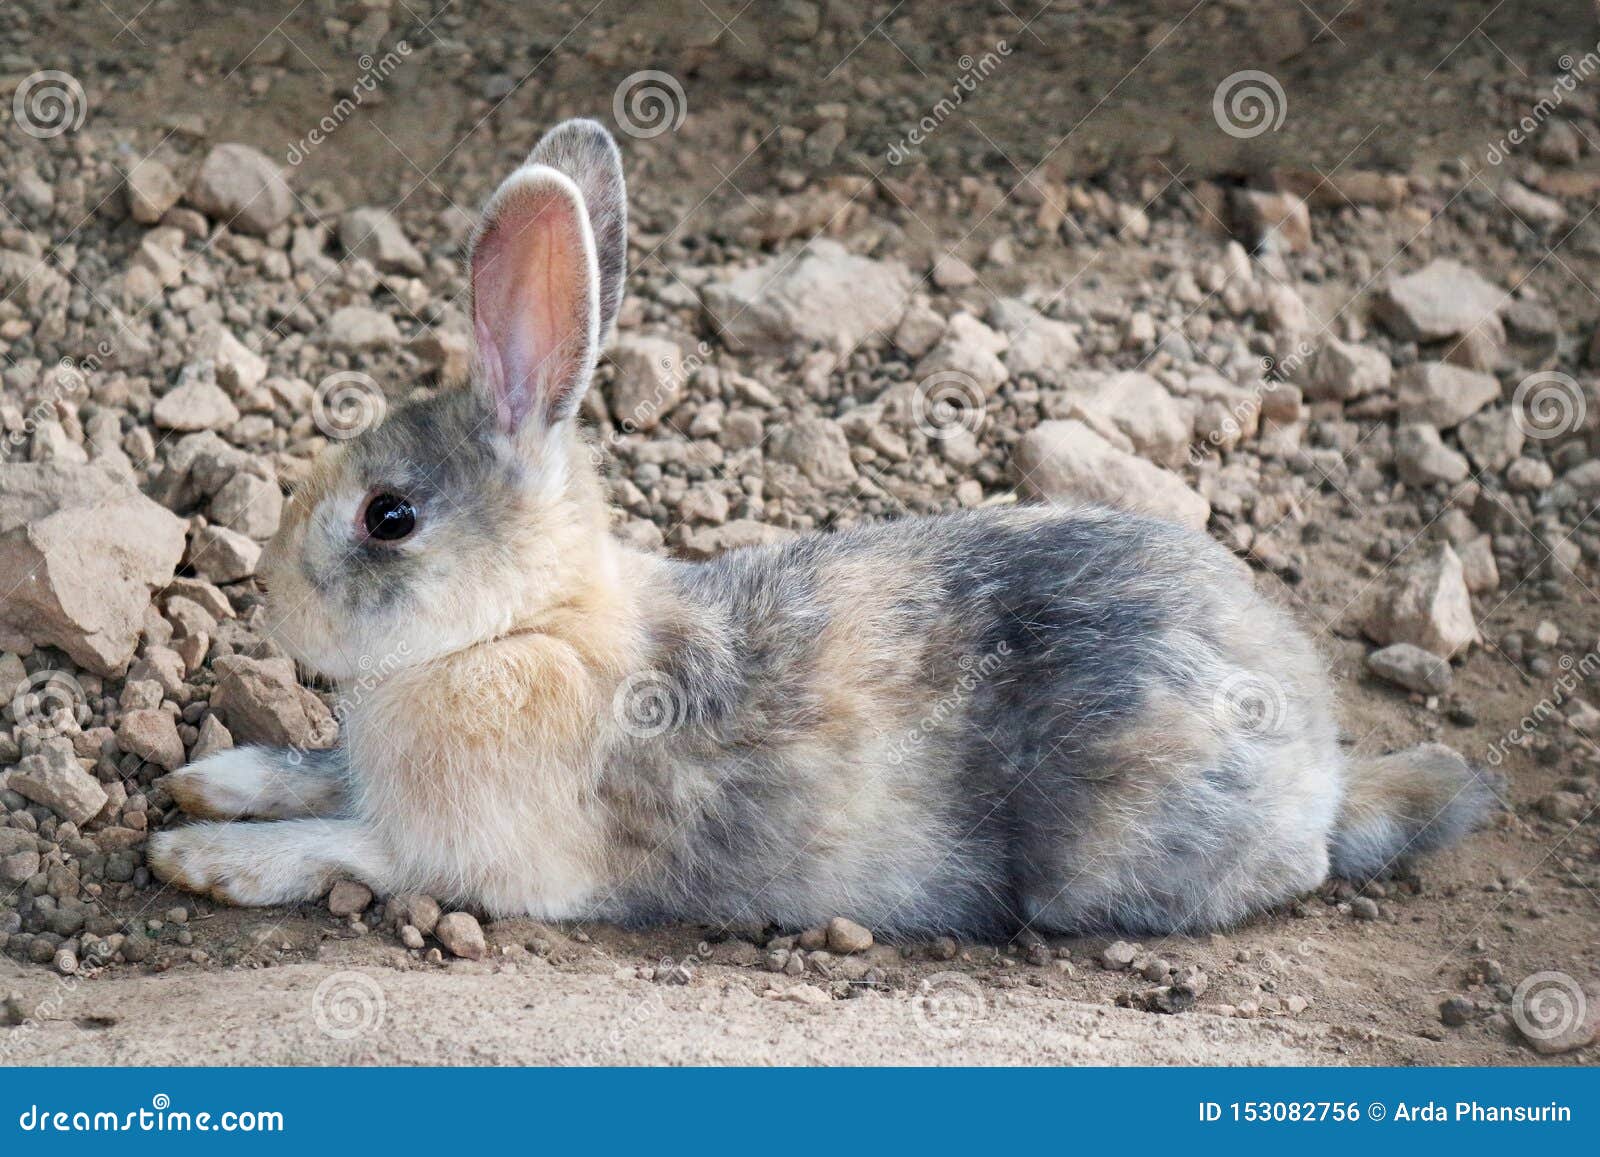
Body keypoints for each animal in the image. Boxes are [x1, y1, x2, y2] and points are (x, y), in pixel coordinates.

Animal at [147, 118, 1499, 939]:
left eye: (389, 516)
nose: (270, 594)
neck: (521, 624)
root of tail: (1320, 766)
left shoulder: (455, 855)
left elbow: (340, 843)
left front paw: (197, 858)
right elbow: (311, 767)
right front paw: (210, 780)